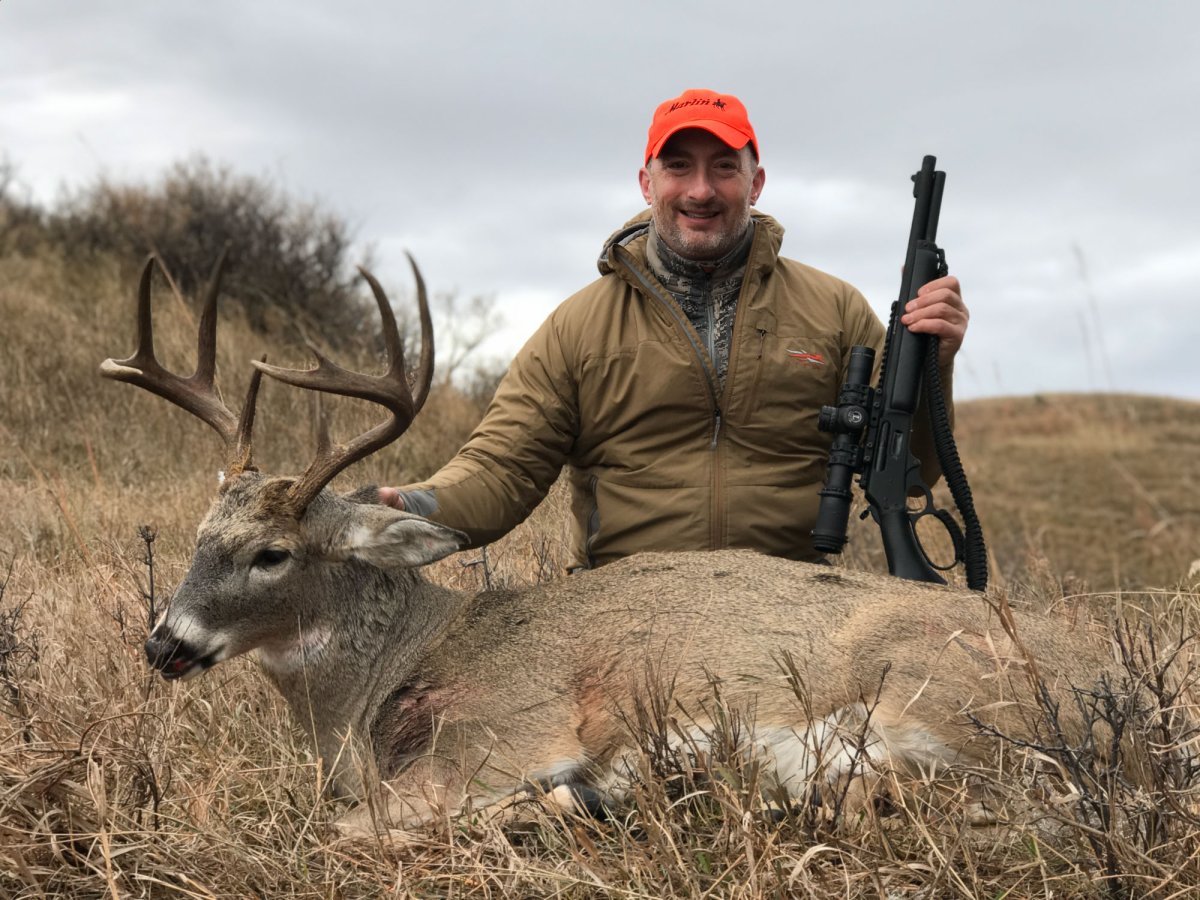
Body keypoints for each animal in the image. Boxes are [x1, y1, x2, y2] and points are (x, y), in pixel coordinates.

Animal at [101, 253, 1135, 837]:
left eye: (272, 554)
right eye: (202, 536)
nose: (164, 643)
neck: (381, 685)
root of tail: (1126, 697)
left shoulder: (500, 738)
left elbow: (354, 826)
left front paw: (567, 802)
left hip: (934, 696)